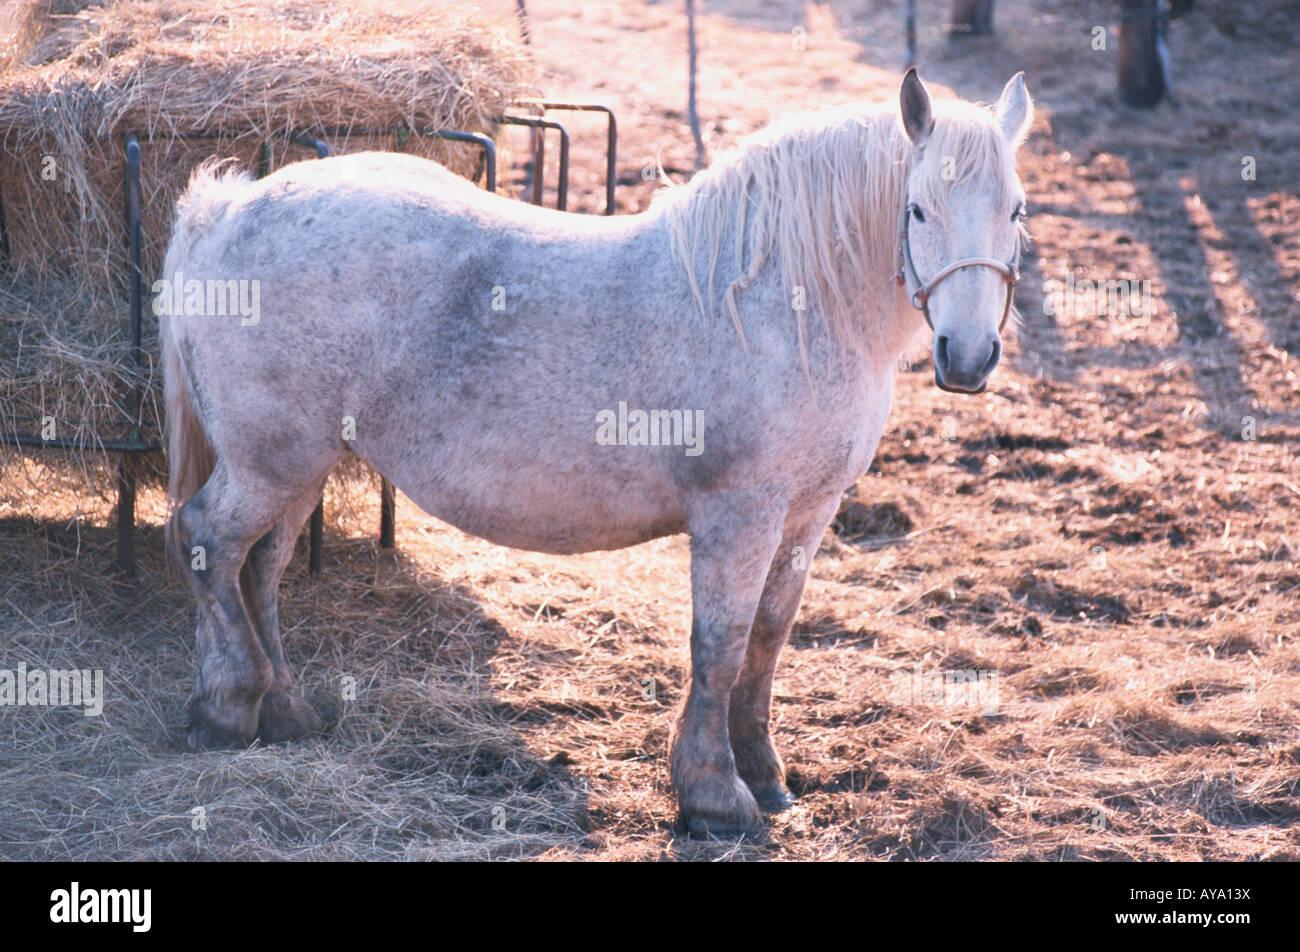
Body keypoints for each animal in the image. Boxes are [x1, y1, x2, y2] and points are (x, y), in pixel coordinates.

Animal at [159, 67, 1032, 836]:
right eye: (917, 210)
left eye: (1018, 211)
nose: (968, 356)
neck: (777, 302)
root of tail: (226, 210)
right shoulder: (739, 515)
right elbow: (719, 645)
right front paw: (714, 795)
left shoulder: (807, 514)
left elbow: (767, 640)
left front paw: (764, 775)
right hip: (271, 463)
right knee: (207, 543)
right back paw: (227, 709)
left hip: (295, 468)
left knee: (258, 568)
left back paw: (283, 710)